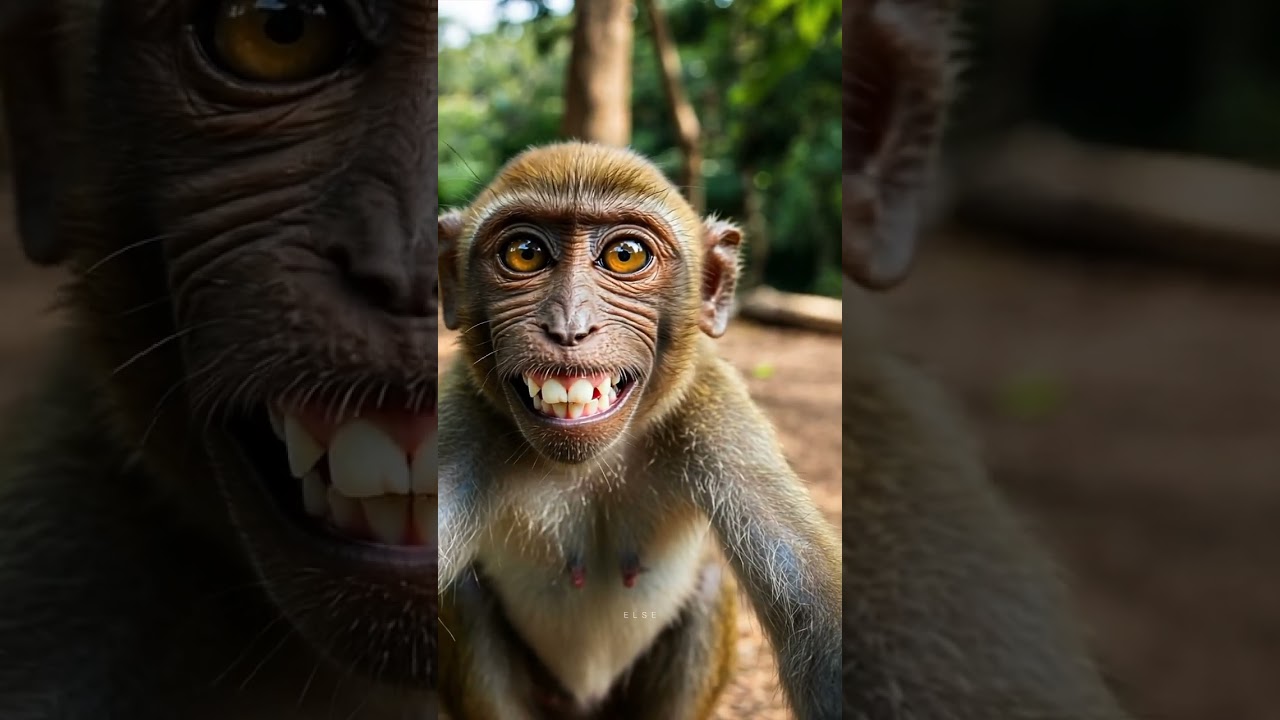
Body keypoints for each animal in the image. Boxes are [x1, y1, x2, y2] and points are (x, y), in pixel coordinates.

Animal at [435, 141, 842, 720]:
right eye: (524, 253)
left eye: (625, 255)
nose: (569, 327)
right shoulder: (462, 420)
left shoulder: (714, 411)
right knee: (464, 594)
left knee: (710, 585)